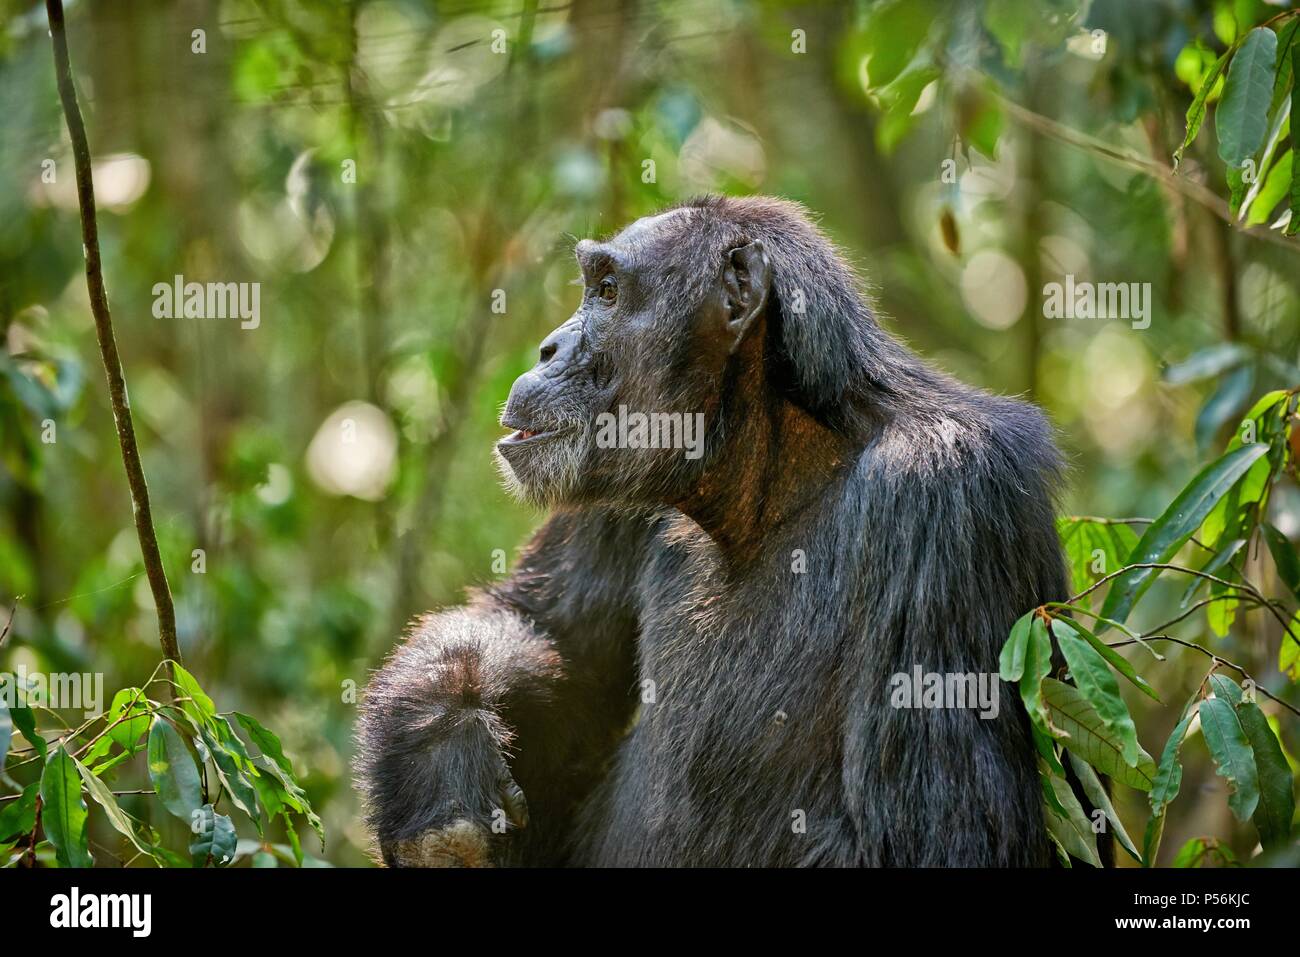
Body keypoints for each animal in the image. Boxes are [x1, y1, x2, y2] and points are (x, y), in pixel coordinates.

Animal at [355, 195, 1070, 866]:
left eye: (607, 291)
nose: (549, 347)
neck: (762, 481)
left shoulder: (946, 494)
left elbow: (937, 834)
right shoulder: (618, 491)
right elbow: (545, 628)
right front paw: (438, 751)